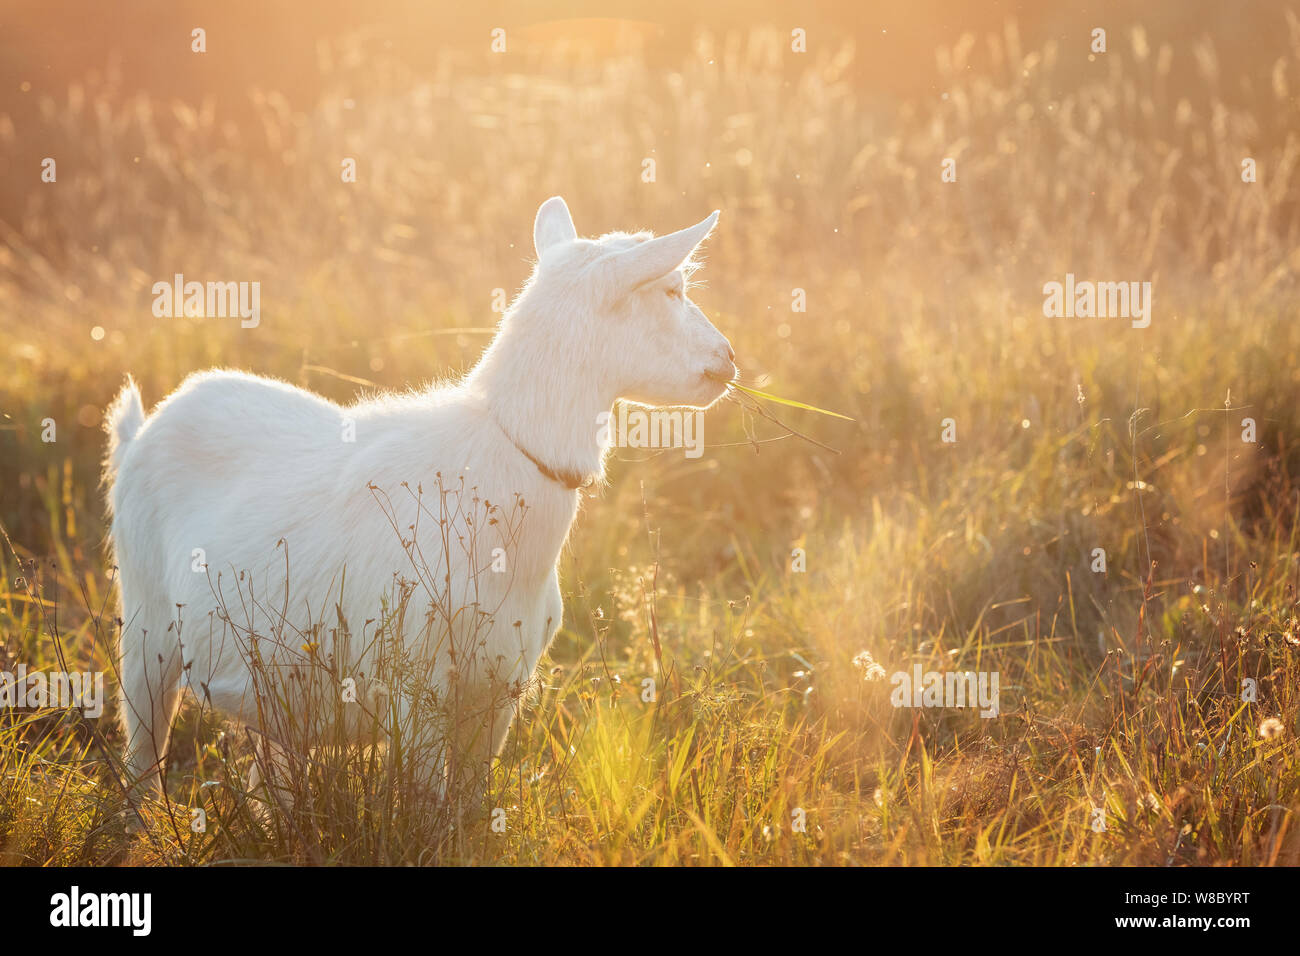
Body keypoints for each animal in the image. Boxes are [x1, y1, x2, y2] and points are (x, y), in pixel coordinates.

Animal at [103, 197, 736, 801]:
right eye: (673, 290)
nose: (729, 358)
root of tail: (147, 426)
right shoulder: (419, 693)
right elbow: (429, 811)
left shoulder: (497, 693)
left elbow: (470, 811)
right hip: (146, 633)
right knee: (140, 763)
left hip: (272, 688)